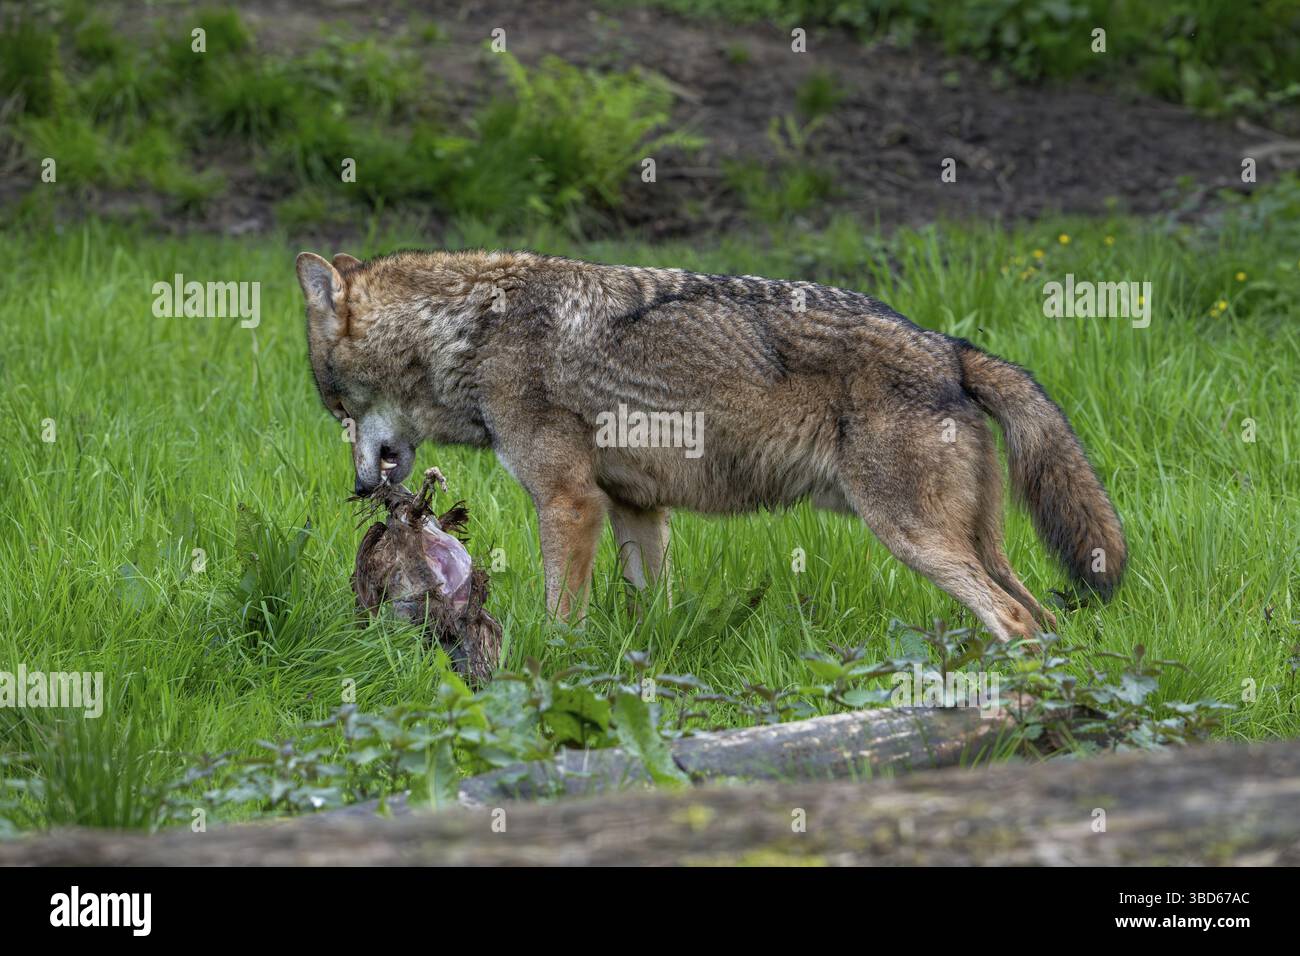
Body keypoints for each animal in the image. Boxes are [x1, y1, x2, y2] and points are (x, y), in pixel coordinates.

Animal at [297, 249, 1126, 640]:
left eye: (335, 405)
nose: (363, 489)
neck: (473, 327)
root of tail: (951, 348)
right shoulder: (636, 509)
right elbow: (652, 612)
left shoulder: (569, 502)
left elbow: (561, 618)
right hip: (978, 545)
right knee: (1045, 619)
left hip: (913, 539)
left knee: (1014, 619)